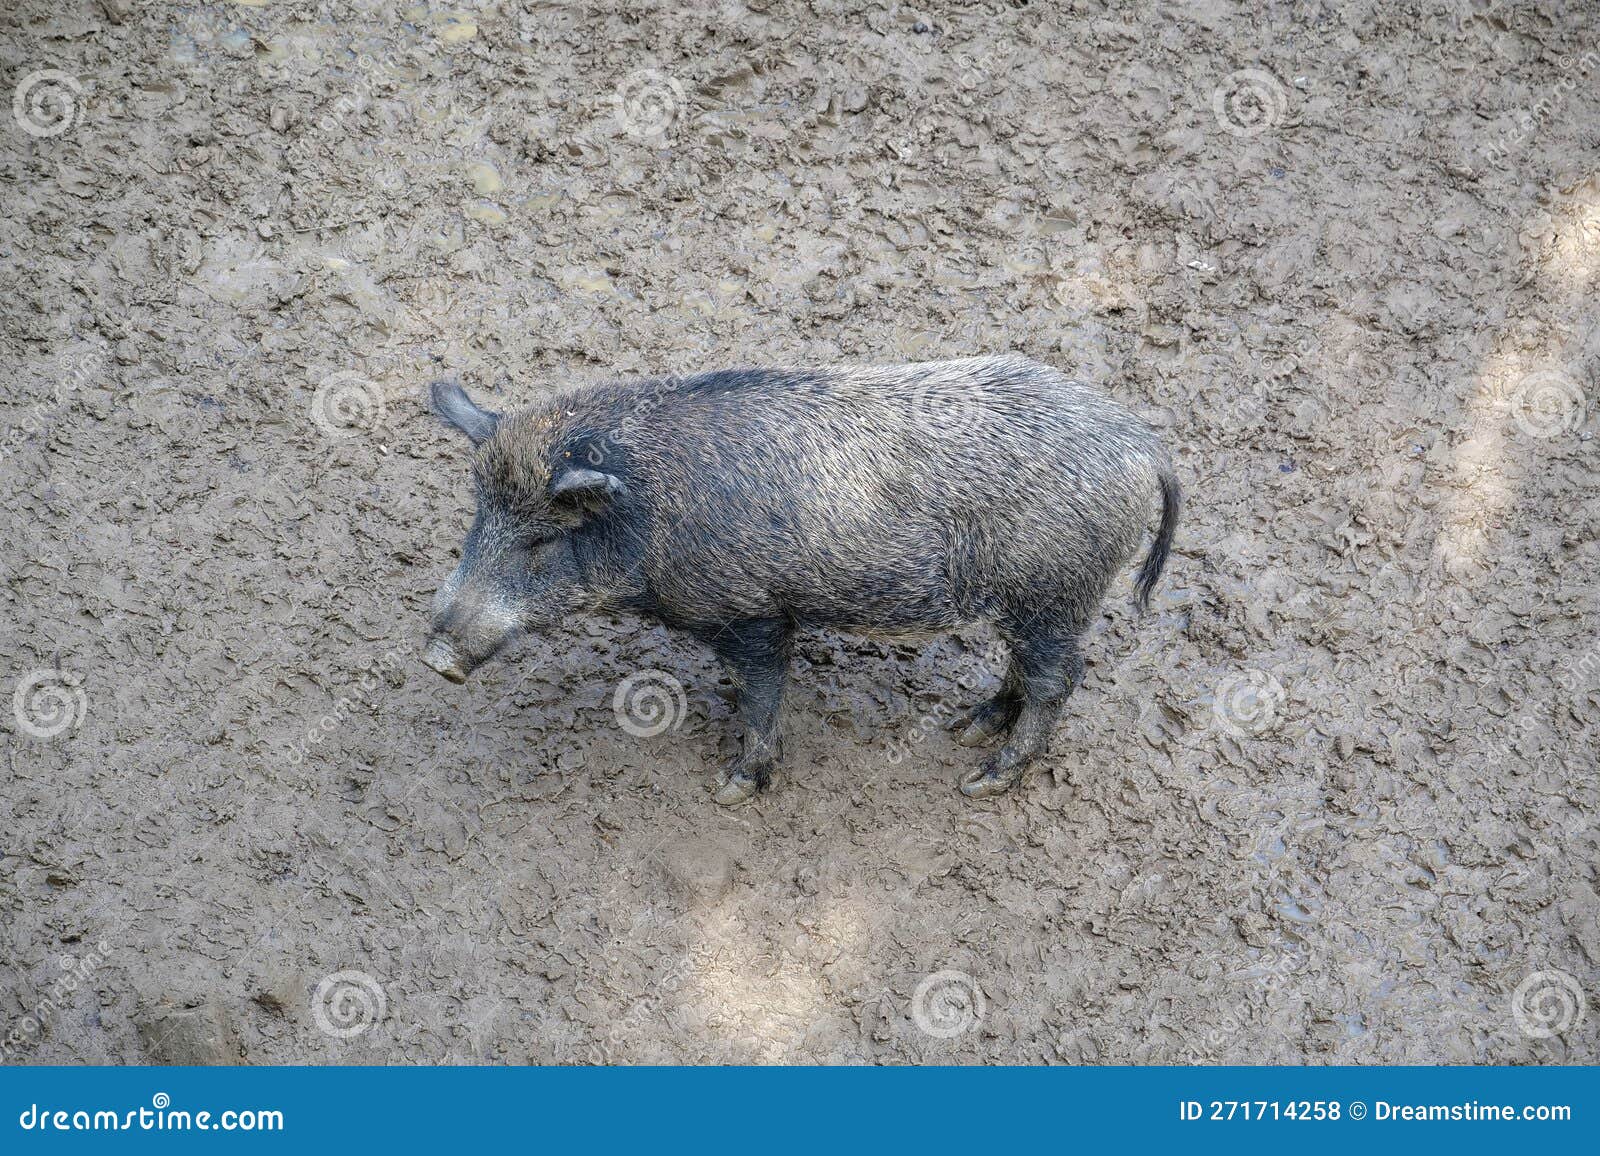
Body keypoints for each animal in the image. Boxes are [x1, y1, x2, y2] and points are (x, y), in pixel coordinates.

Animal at [423, 354, 1179, 805]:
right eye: (480, 514)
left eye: (543, 539)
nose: (434, 656)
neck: (647, 513)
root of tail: (1144, 444)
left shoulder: (755, 613)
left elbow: (762, 695)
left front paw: (733, 787)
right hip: (1034, 602)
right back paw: (968, 727)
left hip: (1057, 592)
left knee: (1060, 679)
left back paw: (980, 779)